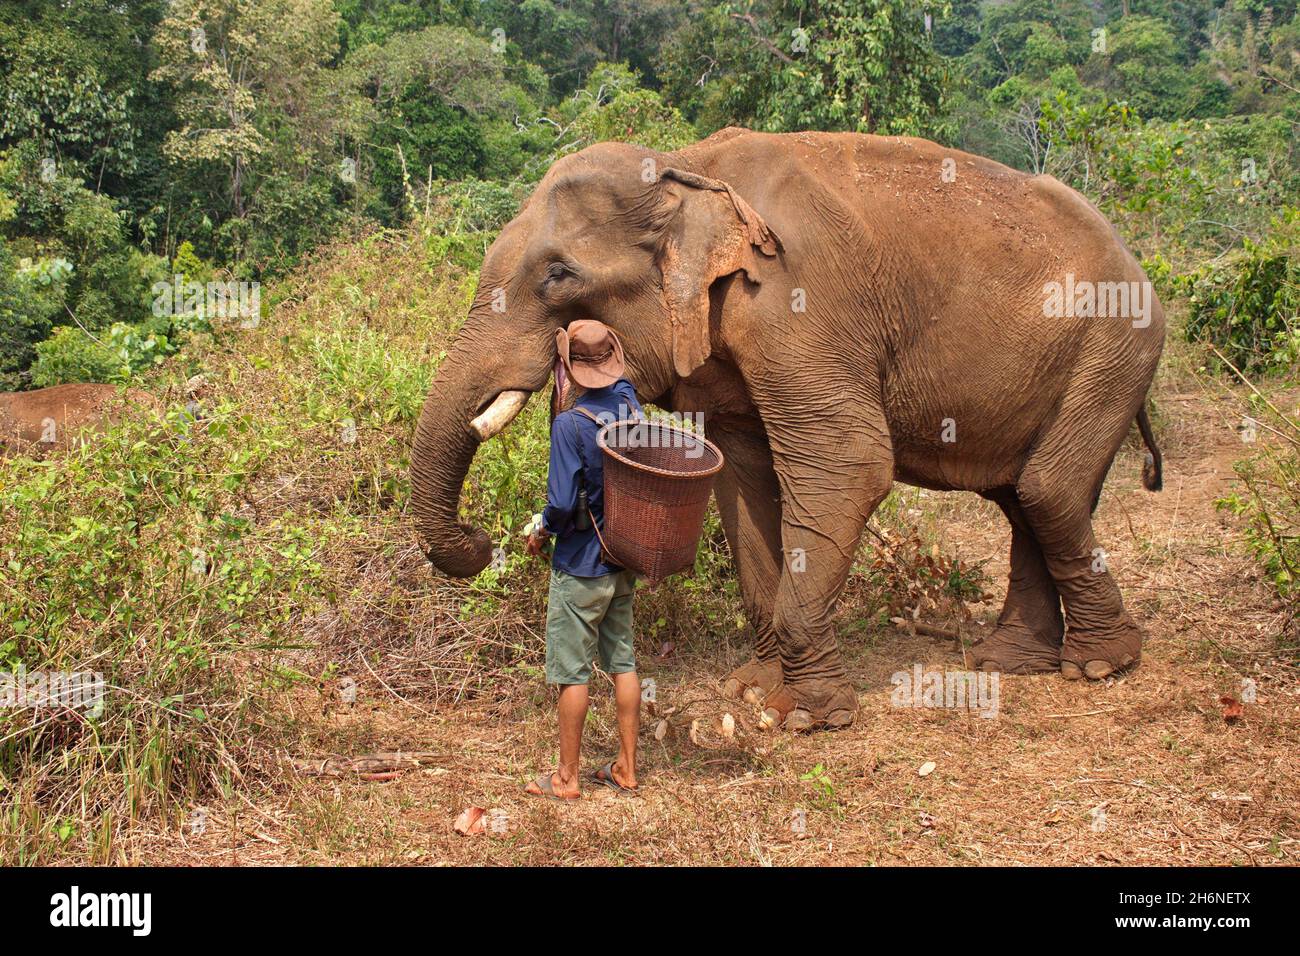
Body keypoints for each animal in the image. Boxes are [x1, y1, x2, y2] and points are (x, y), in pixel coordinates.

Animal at [409, 127, 1165, 732]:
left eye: (558, 275)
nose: (486, 539)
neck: (689, 168)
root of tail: (1136, 259)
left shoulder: (795, 301)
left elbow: (848, 463)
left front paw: (807, 717)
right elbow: (743, 480)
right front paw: (752, 690)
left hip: (1114, 348)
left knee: (1047, 490)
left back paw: (1098, 666)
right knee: (1020, 497)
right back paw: (1011, 660)